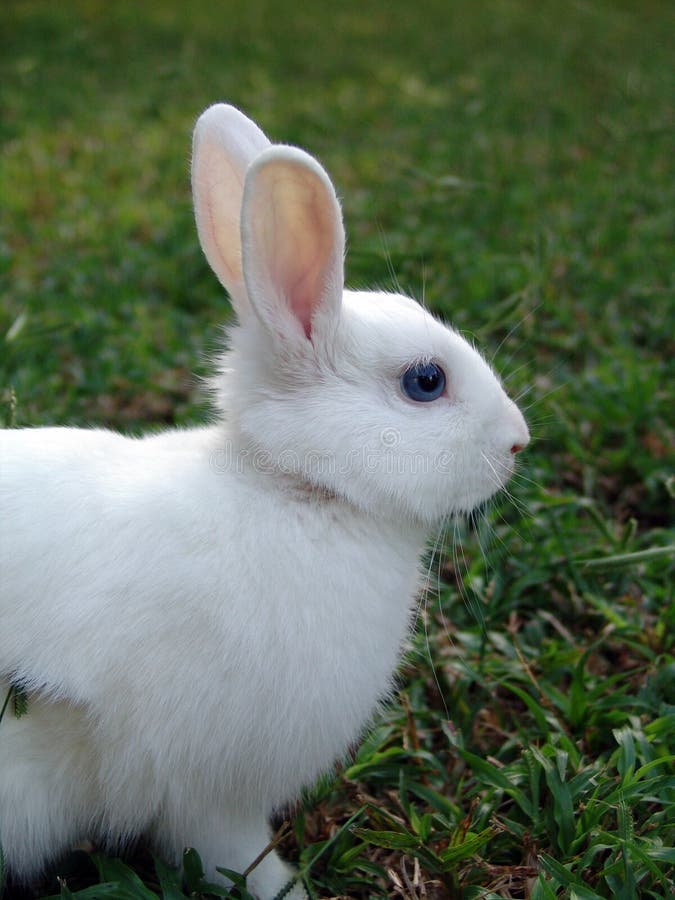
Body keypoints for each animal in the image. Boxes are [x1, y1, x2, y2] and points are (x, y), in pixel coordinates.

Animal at [0, 103, 529, 899]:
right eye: (426, 381)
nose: (518, 441)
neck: (297, 491)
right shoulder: (209, 792)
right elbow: (237, 857)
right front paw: (291, 889)